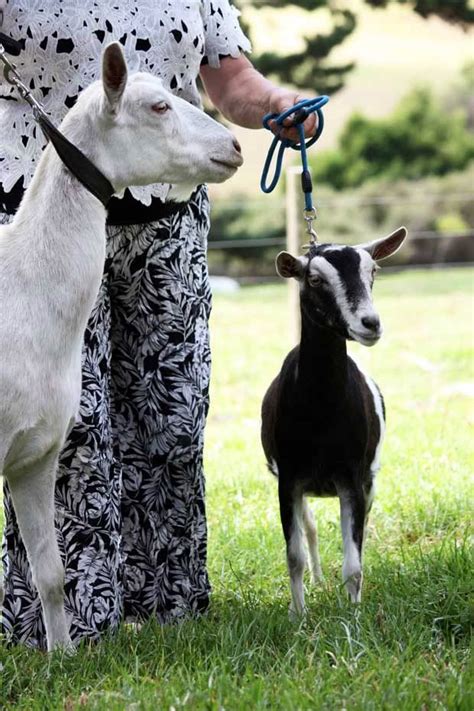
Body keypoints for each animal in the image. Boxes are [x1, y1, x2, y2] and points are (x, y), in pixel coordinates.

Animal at [261, 227, 407, 614]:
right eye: (314, 279)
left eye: (374, 271)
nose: (370, 324)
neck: (321, 412)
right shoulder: (289, 479)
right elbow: (293, 555)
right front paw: (298, 614)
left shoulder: (351, 479)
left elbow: (353, 562)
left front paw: (354, 614)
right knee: (310, 527)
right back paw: (316, 580)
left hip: (368, 479)